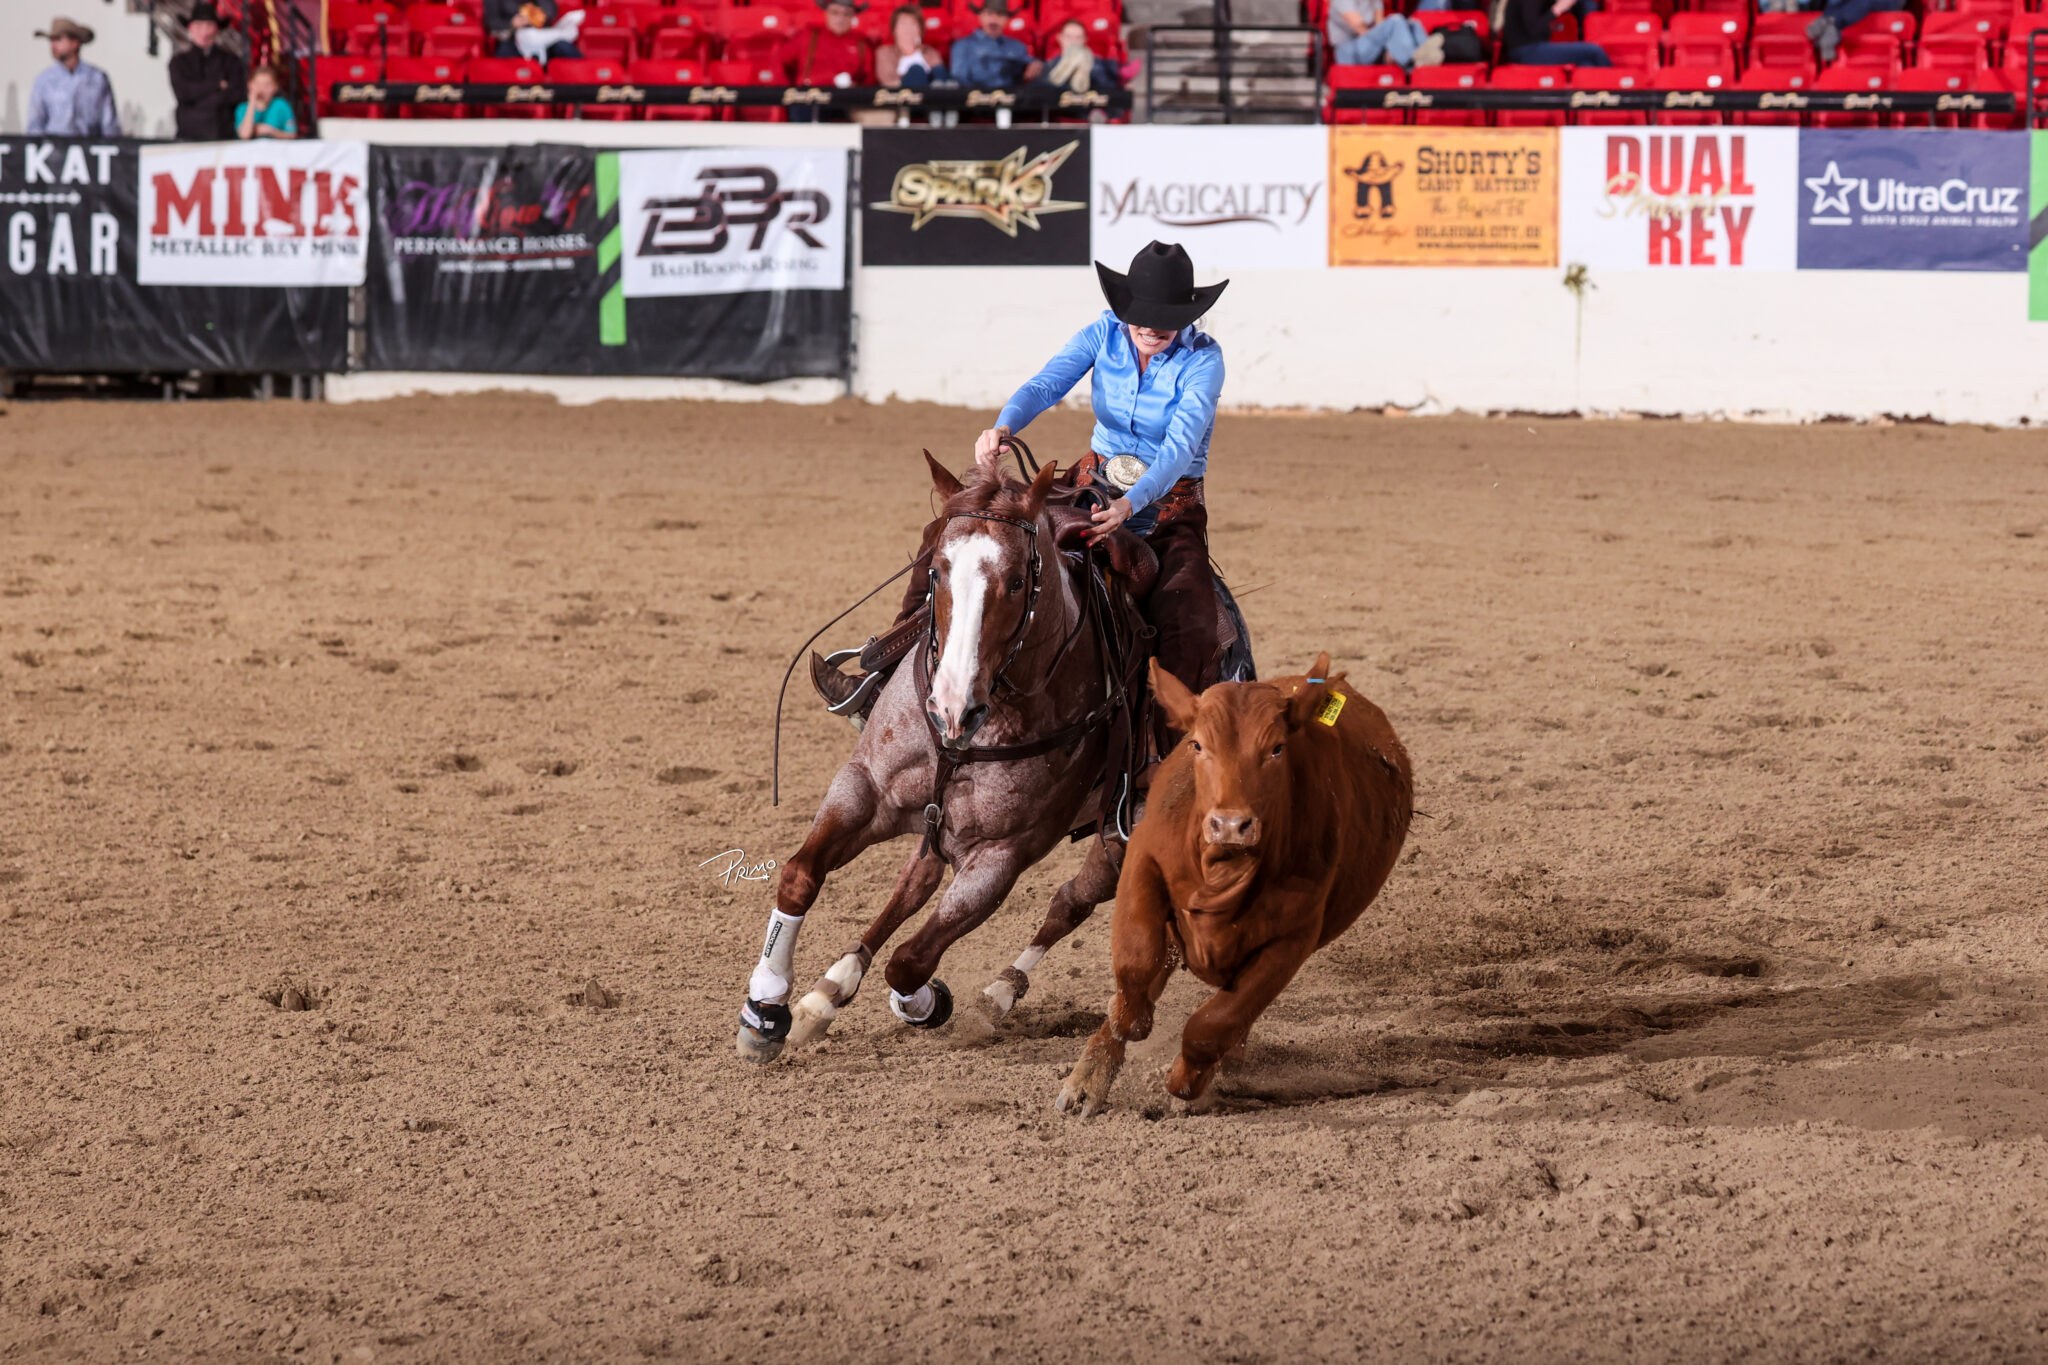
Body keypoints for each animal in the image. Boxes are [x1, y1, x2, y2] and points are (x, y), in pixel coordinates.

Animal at [736, 454, 1147, 1063]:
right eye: (935, 570)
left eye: (1018, 580)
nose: (952, 706)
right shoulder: (866, 788)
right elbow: (800, 875)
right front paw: (766, 1009)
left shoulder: (1000, 856)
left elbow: (910, 963)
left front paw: (925, 1003)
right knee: (916, 884)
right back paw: (827, 992)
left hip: (1119, 839)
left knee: (1069, 903)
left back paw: (997, 995)